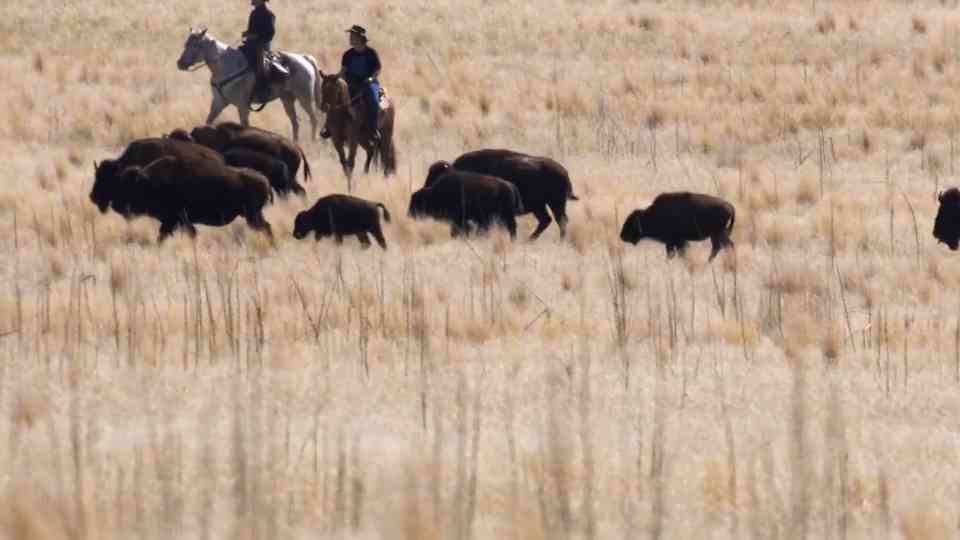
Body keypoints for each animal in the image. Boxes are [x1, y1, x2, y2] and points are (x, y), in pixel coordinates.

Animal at [91, 156, 274, 242]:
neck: (147, 181)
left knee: (265, 227)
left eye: (109, 181)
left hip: (252, 216)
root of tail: (264, 180)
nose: (93, 197)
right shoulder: (173, 222)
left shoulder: (175, 220)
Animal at [426, 149, 578, 240]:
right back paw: (530, 240)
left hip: (555, 203)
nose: (426, 188)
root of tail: (563, 171)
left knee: (560, 220)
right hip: (540, 206)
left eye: (437, 176)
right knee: (546, 220)